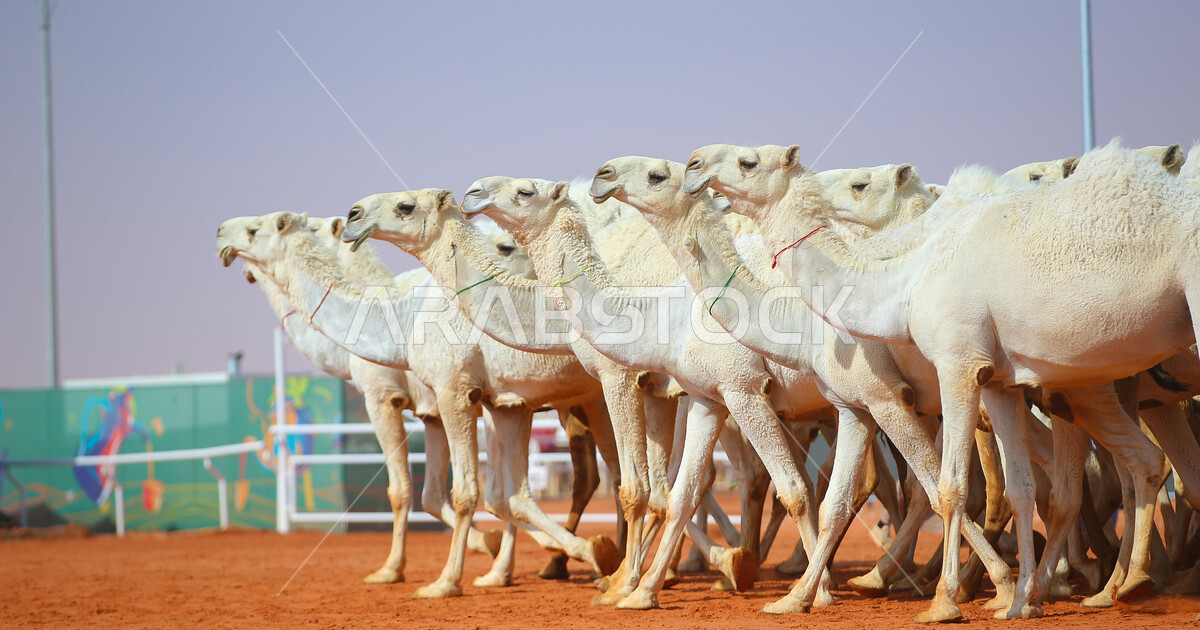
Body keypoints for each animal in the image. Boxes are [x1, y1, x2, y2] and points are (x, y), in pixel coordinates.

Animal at [228, 208, 622, 598]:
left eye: (254, 230)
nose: (225, 243)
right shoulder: (438, 411)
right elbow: (440, 494)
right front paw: (496, 558)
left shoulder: (386, 397)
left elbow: (406, 490)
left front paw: (393, 569)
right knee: (591, 475)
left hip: (591, 393)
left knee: (608, 473)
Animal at [456, 176, 848, 610]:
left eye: (525, 192)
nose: (471, 193)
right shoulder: (667, 390)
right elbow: (669, 487)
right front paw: (637, 576)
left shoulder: (624, 378)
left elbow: (639, 485)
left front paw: (624, 575)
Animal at [588, 156, 1021, 614]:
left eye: (656, 175)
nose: (603, 174)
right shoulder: (707, 396)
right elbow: (683, 493)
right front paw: (643, 587)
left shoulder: (745, 388)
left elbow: (785, 487)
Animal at [684, 140, 1198, 621]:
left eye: (748, 161)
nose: (693, 163)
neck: (905, 282)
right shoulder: (987, 383)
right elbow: (1015, 488)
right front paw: (1019, 602)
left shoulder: (949, 369)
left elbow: (947, 488)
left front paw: (945, 601)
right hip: (1091, 388)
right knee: (1134, 466)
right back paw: (1117, 585)